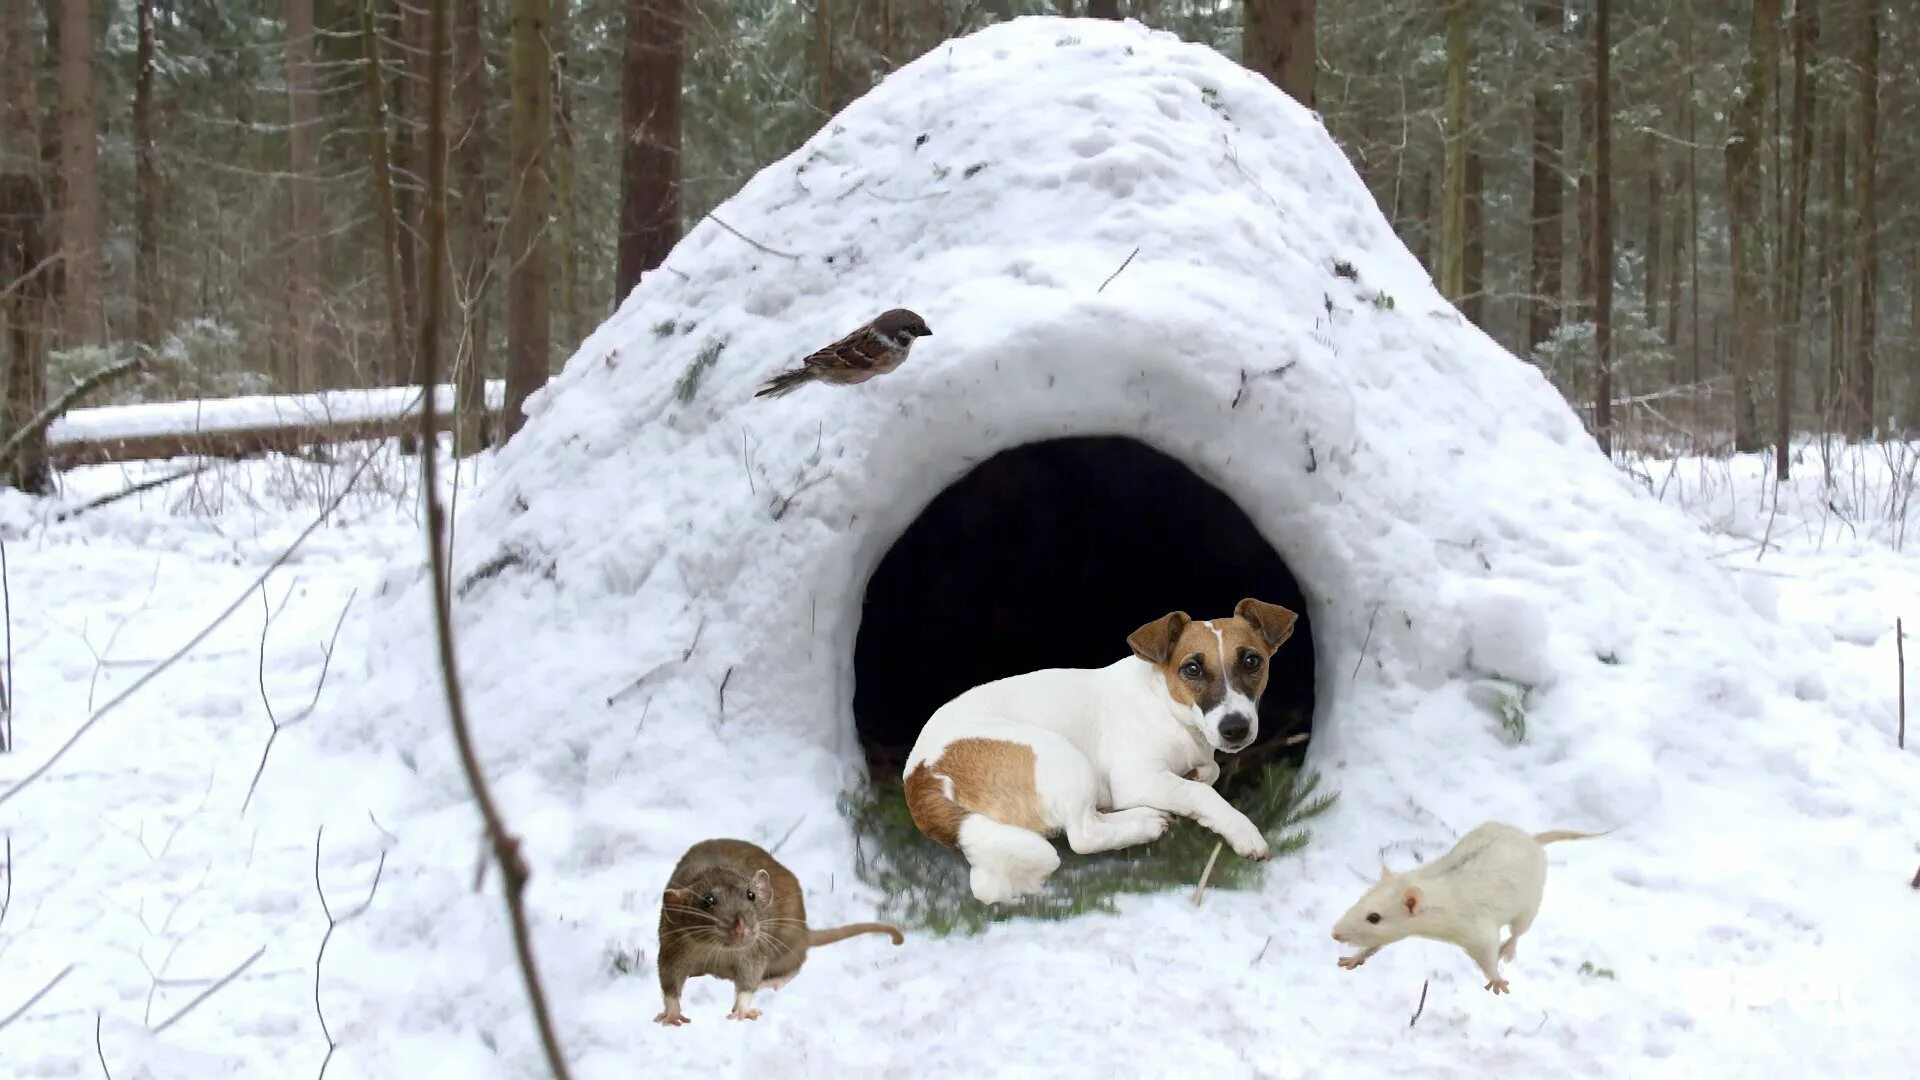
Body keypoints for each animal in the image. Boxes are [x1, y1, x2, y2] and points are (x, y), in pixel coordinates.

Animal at [902, 595, 1297, 899]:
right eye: (1192, 669)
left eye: (1252, 661)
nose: (1235, 729)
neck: (1166, 703)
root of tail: (919, 775)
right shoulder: (1134, 778)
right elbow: (1204, 795)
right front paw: (1241, 830)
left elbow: (1207, 774)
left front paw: (1196, 776)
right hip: (1063, 757)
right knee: (1082, 835)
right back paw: (1144, 823)